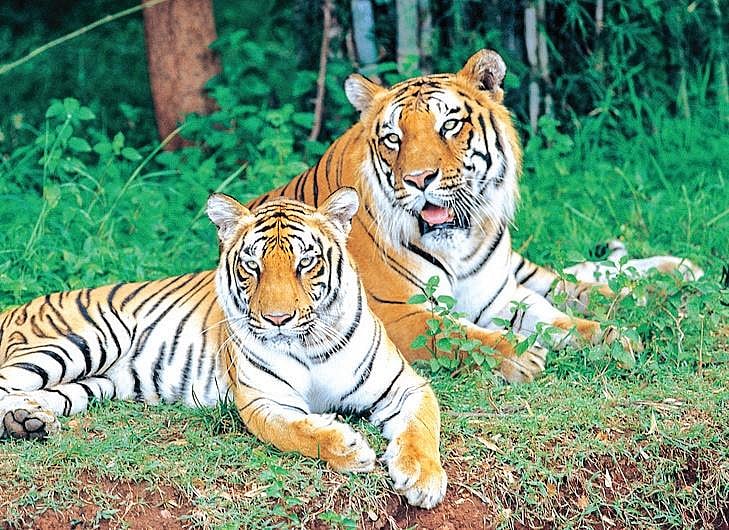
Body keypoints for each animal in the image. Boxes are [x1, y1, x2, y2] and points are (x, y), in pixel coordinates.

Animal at [0, 188, 447, 509]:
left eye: (305, 263)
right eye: (253, 265)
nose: (278, 319)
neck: (308, 344)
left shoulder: (406, 385)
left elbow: (421, 427)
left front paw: (423, 479)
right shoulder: (264, 401)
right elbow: (296, 432)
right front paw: (348, 447)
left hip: (93, 383)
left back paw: (29, 421)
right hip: (82, 342)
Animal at [248, 49, 703, 382]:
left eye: (448, 126)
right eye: (393, 138)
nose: (418, 179)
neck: (460, 246)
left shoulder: (498, 293)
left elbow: (556, 318)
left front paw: (612, 338)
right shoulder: (396, 311)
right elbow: (454, 333)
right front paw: (520, 357)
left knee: (573, 281)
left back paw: (665, 281)